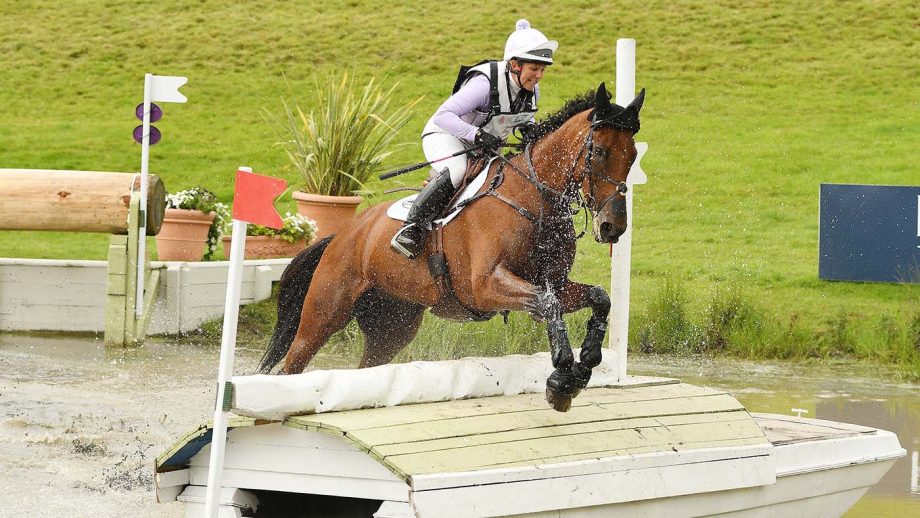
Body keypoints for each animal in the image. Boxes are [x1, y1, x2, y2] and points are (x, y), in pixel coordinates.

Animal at [259, 82, 644, 412]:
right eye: (599, 151)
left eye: (632, 155)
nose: (612, 227)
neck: (533, 199)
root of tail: (344, 234)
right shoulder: (485, 286)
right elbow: (547, 305)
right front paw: (562, 377)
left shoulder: (555, 283)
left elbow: (598, 298)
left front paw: (584, 365)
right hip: (324, 314)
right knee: (293, 363)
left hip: (392, 325)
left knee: (367, 368)